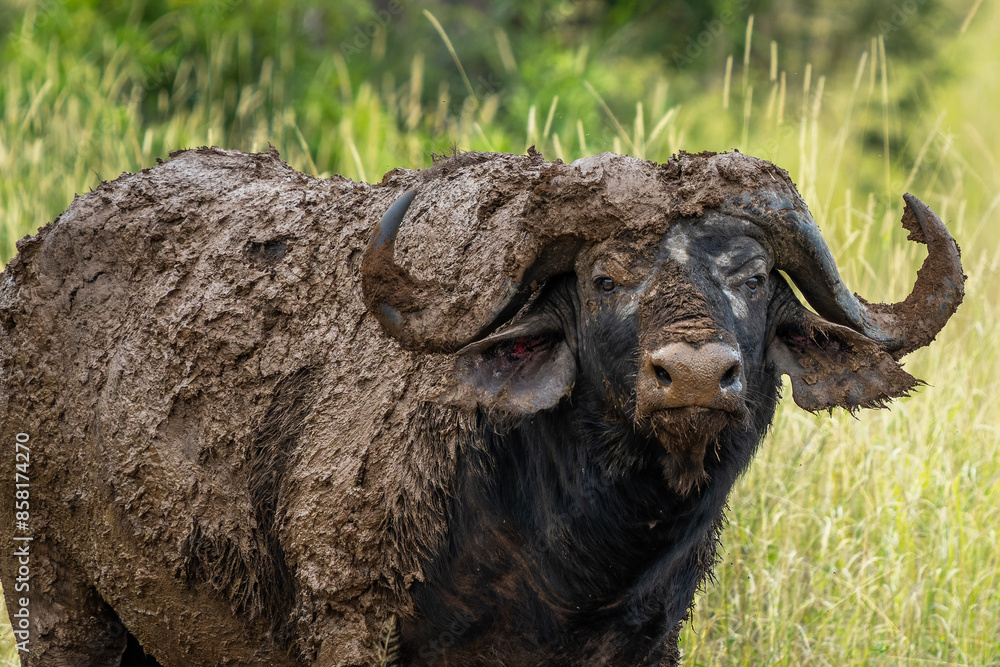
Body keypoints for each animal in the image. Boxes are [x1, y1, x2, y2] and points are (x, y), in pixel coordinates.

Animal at [0, 147, 963, 666]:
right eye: (603, 279)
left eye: (755, 277)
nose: (694, 375)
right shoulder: (350, 618)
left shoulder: (649, 639)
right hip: (54, 597)